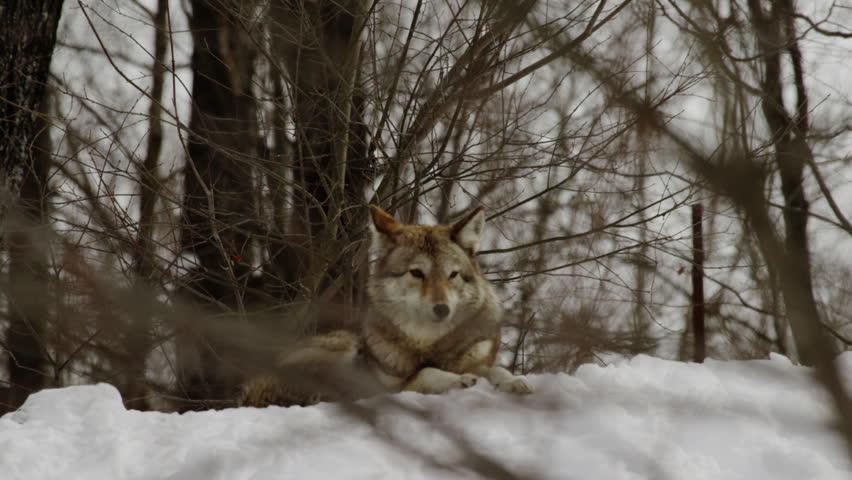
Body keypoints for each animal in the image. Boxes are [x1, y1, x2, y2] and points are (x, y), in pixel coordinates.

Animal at [240, 205, 530, 407]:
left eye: (453, 275)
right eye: (417, 273)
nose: (442, 309)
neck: (429, 344)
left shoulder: (477, 359)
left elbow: (497, 369)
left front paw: (514, 382)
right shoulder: (393, 387)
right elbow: (426, 373)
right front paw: (457, 380)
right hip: (343, 346)